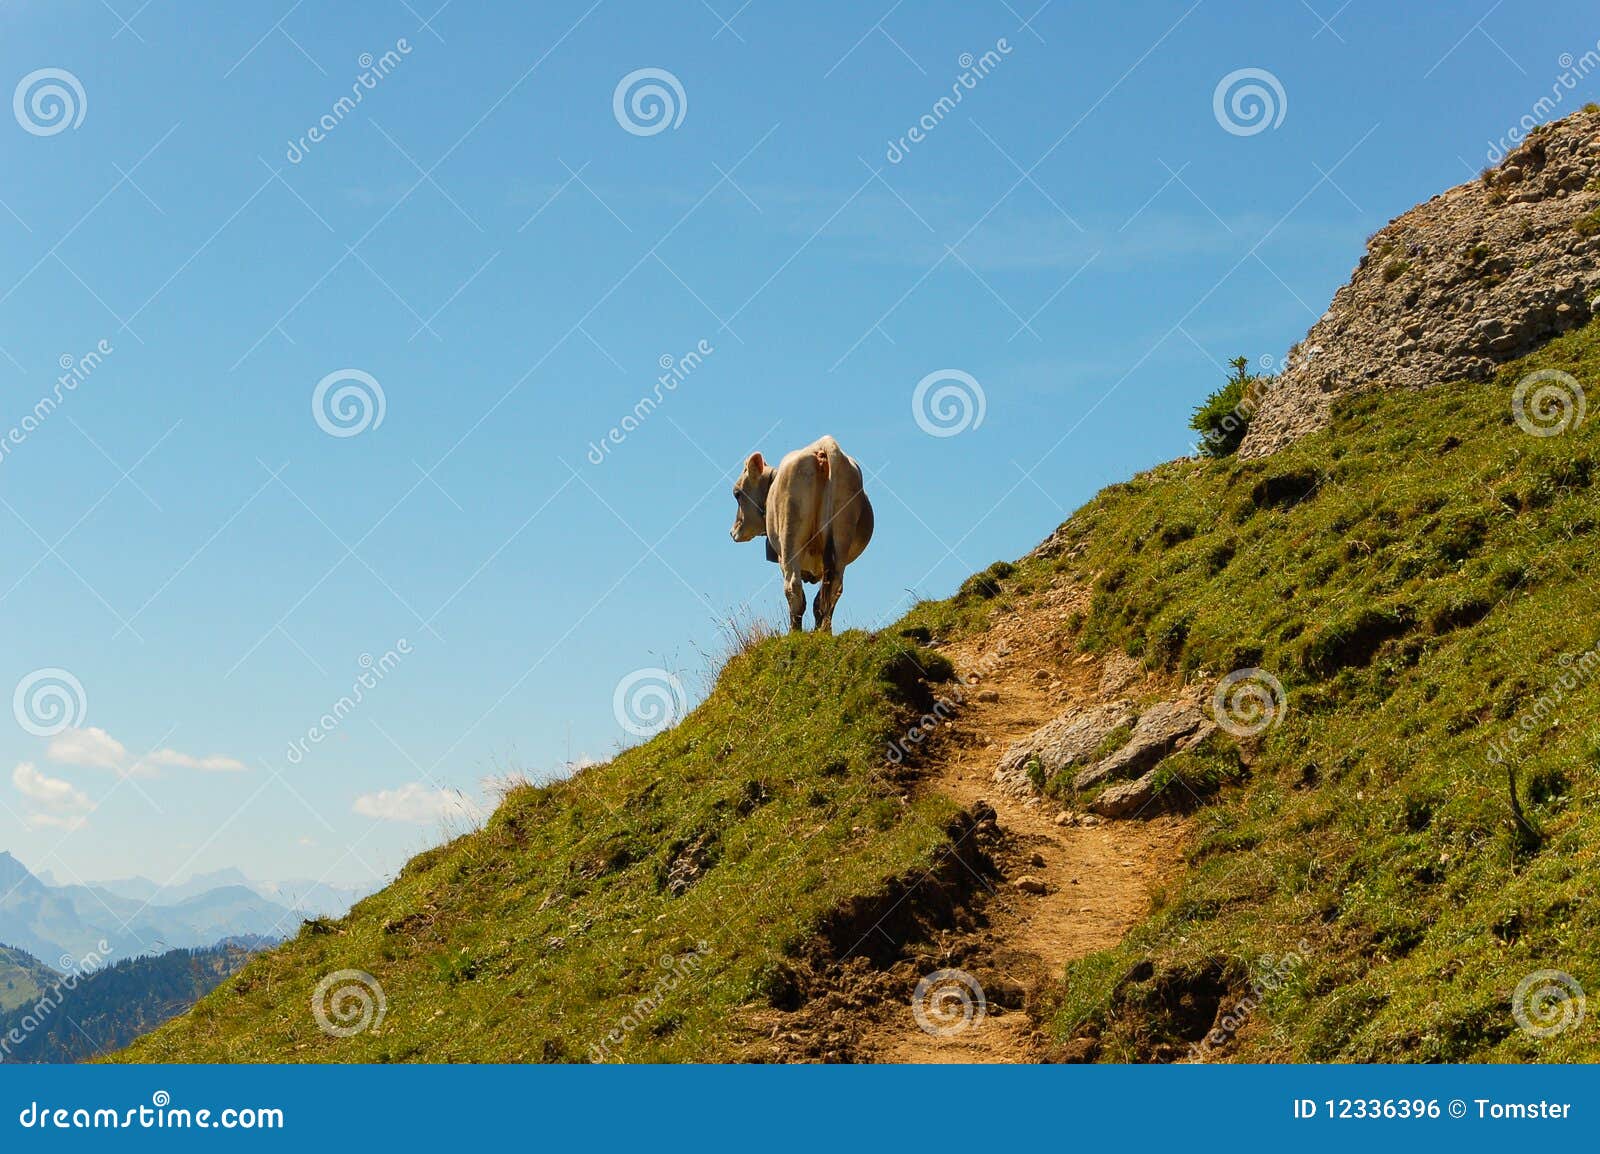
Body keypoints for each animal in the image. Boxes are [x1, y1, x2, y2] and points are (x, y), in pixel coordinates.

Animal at [729, 435, 874, 633]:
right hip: (841, 539)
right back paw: (824, 632)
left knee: (793, 587)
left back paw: (794, 632)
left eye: (737, 494)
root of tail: (823, 446)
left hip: (790, 540)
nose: (733, 531)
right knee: (833, 588)